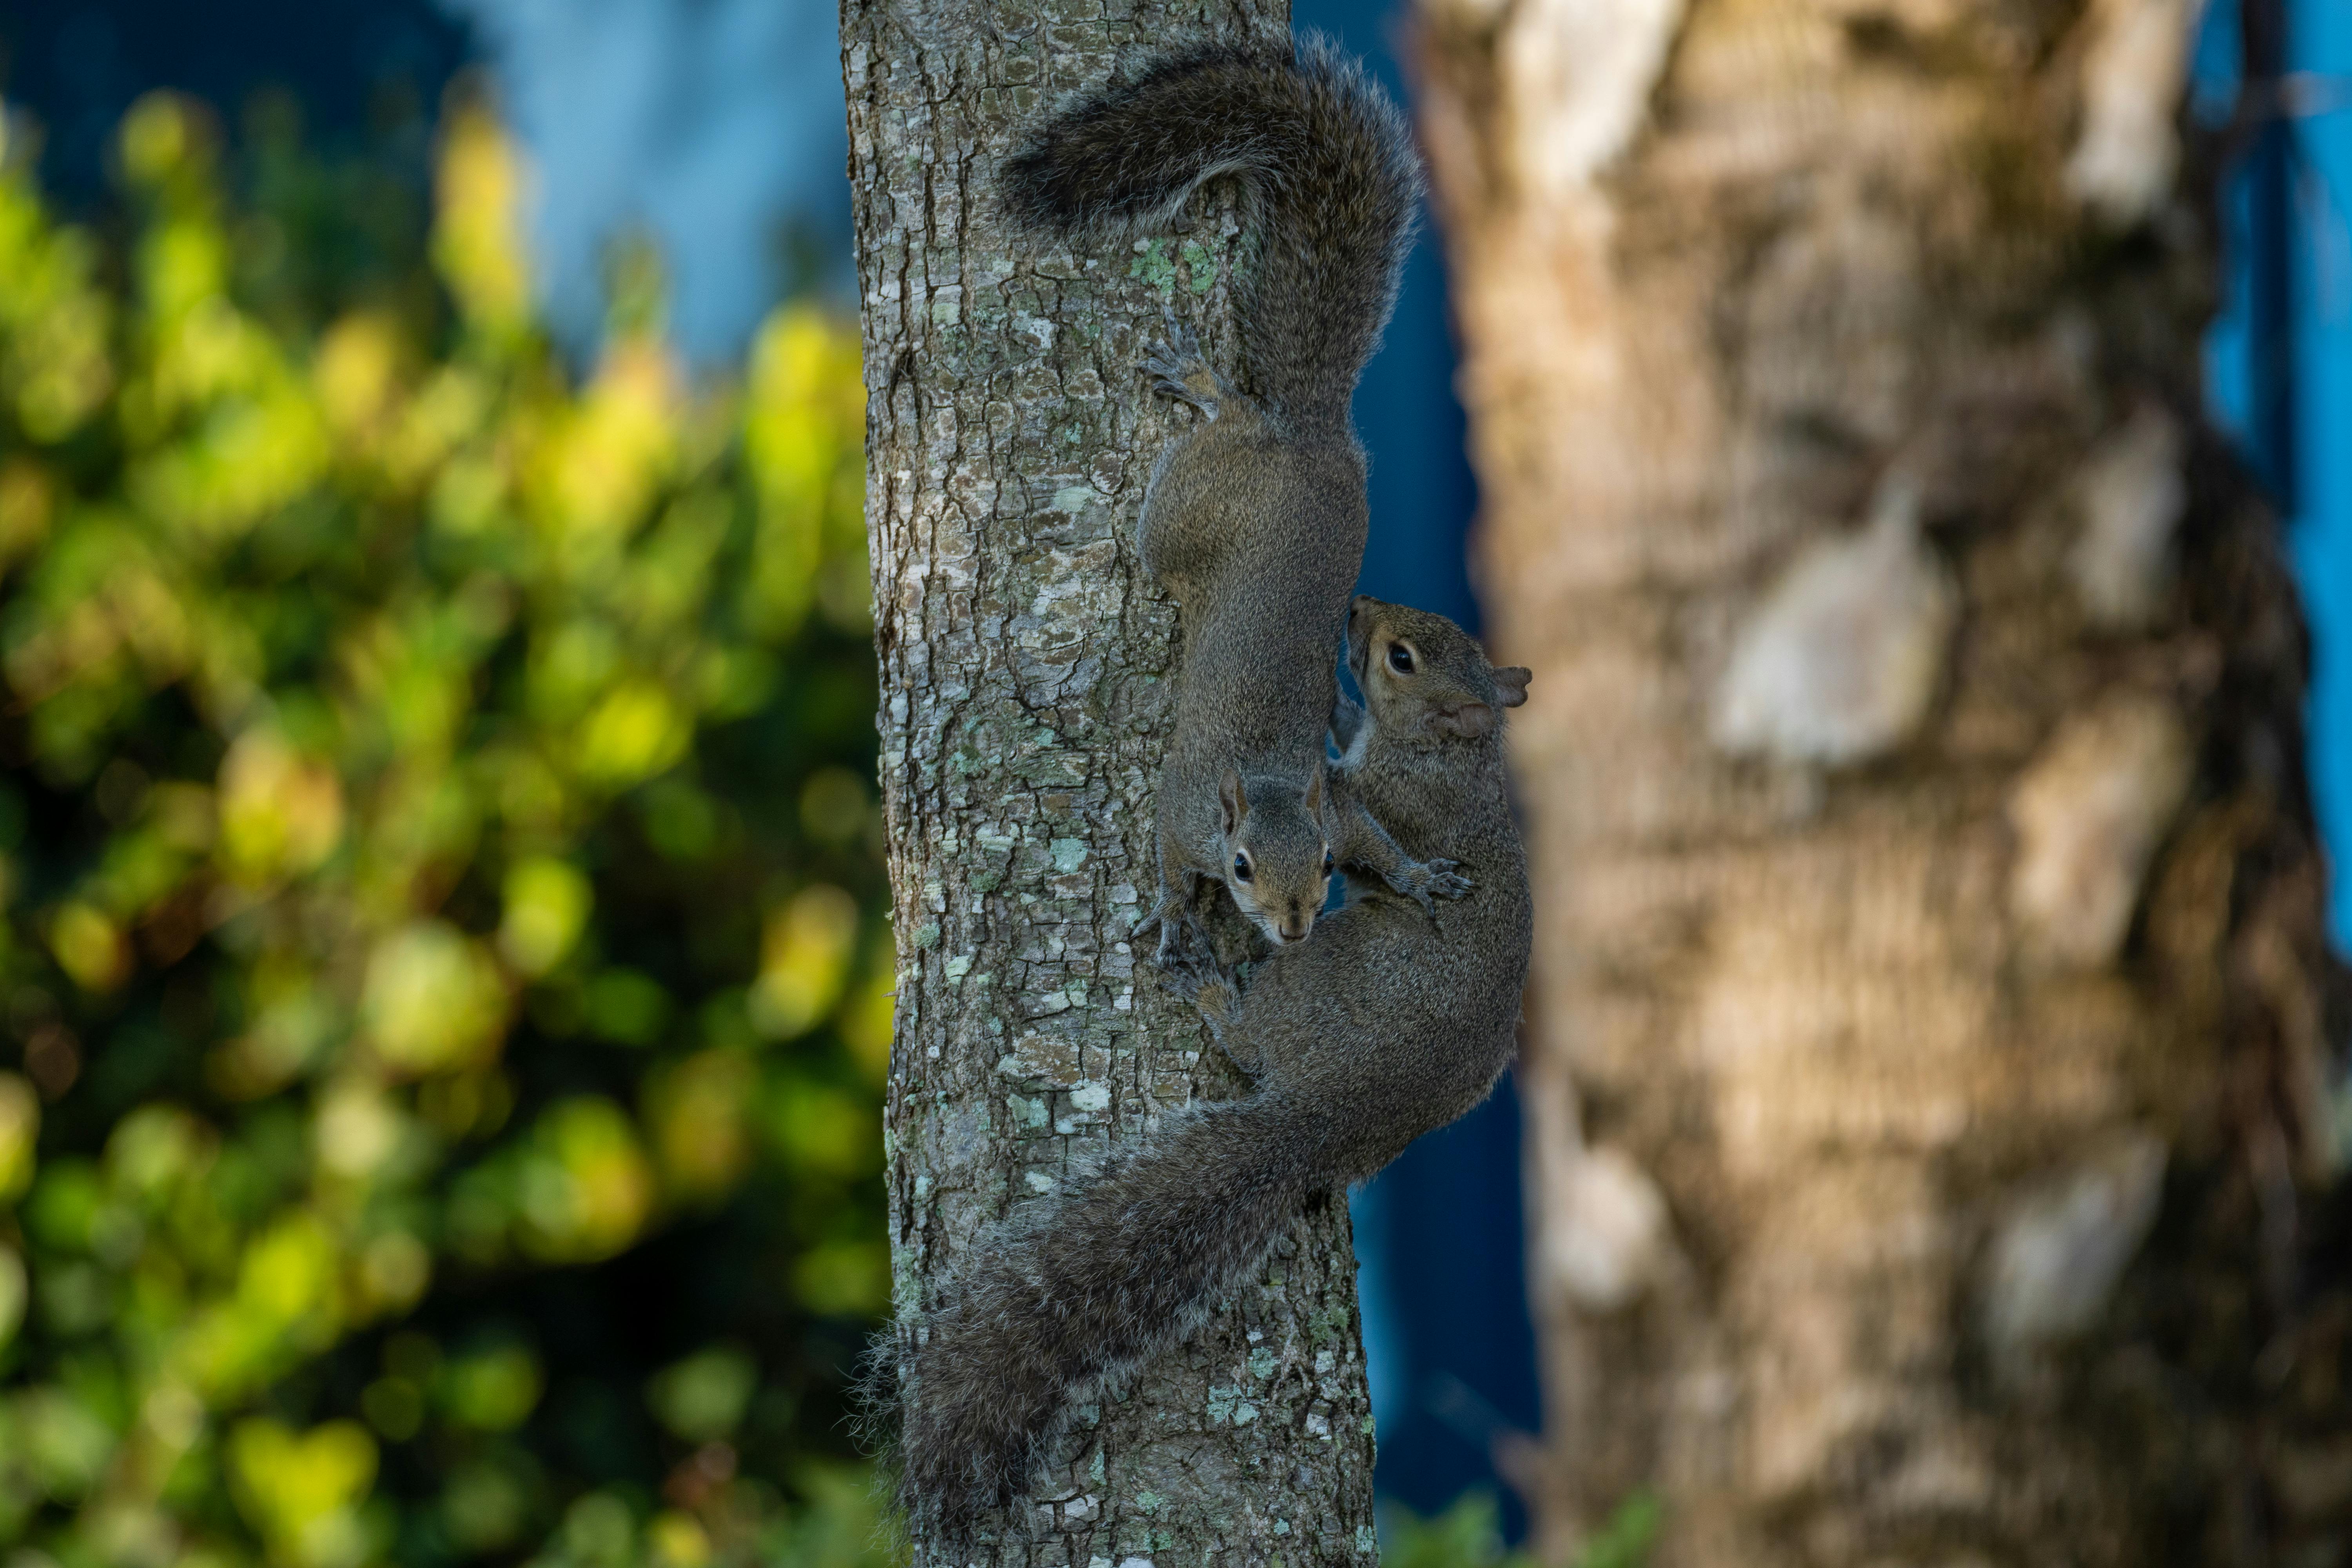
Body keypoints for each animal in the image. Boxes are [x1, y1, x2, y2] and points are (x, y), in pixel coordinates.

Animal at [888, 597, 1532, 1527]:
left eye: (1403, 657)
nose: (1357, 611)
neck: (1450, 756)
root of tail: (1327, 1116)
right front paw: (1339, 708)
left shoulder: (1373, 798)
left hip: (1310, 969)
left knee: (1249, 1036)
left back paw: (1209, 991)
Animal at [1001, 37, 1448, 969]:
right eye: (1240, 868)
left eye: (1326, 865)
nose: (1295, 926)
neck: (1269, 789)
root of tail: (1311, 437)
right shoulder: (1180, 812)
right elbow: (1171, 867)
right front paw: (1177, 917)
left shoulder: (1336, 807)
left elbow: (1380, 841)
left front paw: (1421, 876)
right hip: (1188, 509)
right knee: (1229, 426)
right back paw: (1206, 386)